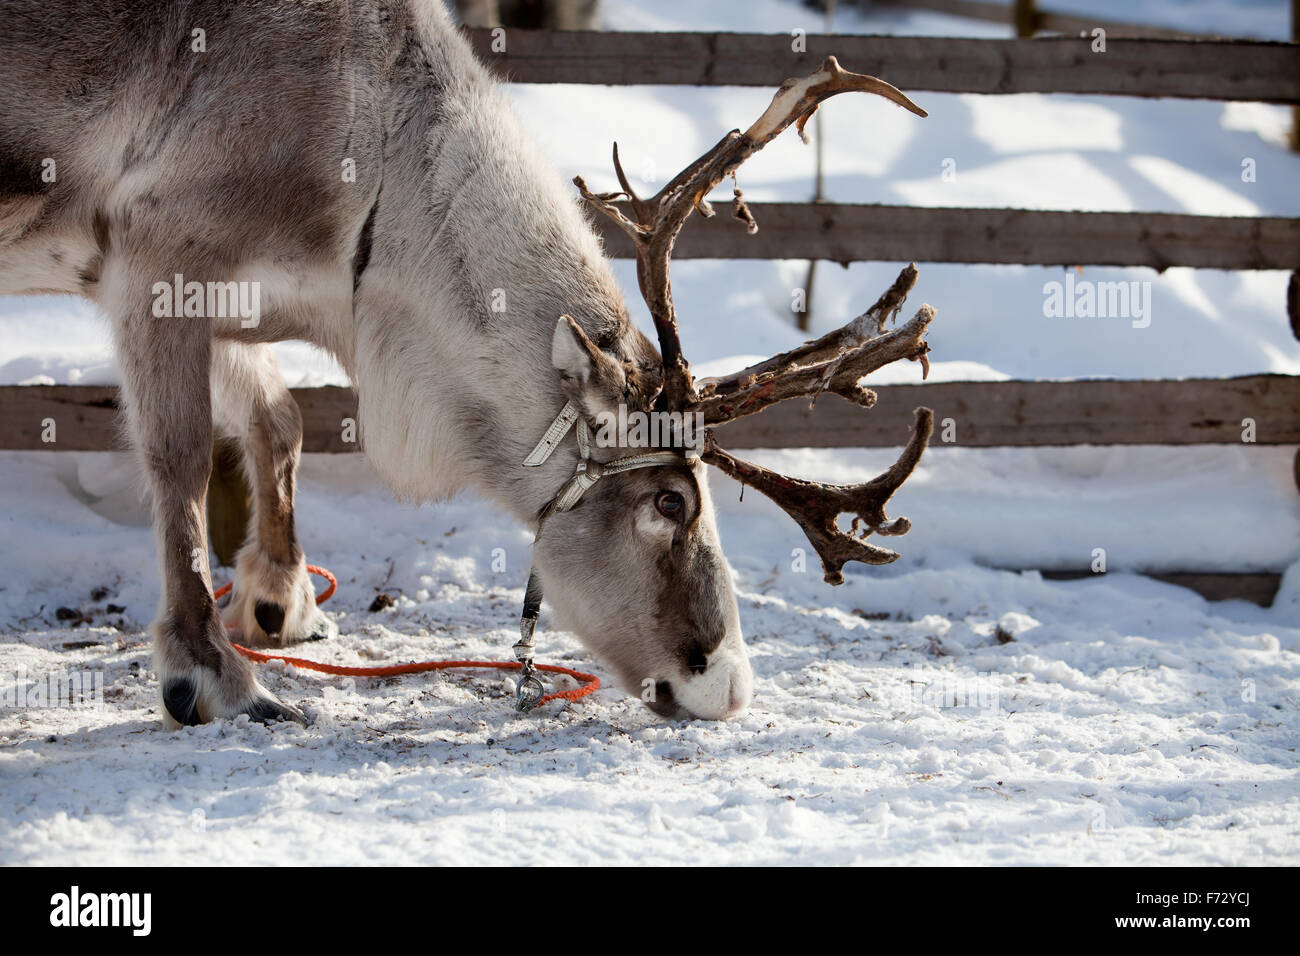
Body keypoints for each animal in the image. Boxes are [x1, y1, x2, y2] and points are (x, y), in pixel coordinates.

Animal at [0, 0, 935, 726]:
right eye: (670, 500)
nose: (732, 688)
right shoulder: (154, 257)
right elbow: (183, 461)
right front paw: (209, 673)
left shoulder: (224, 294)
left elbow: (279, 420)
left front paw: (280, 600)